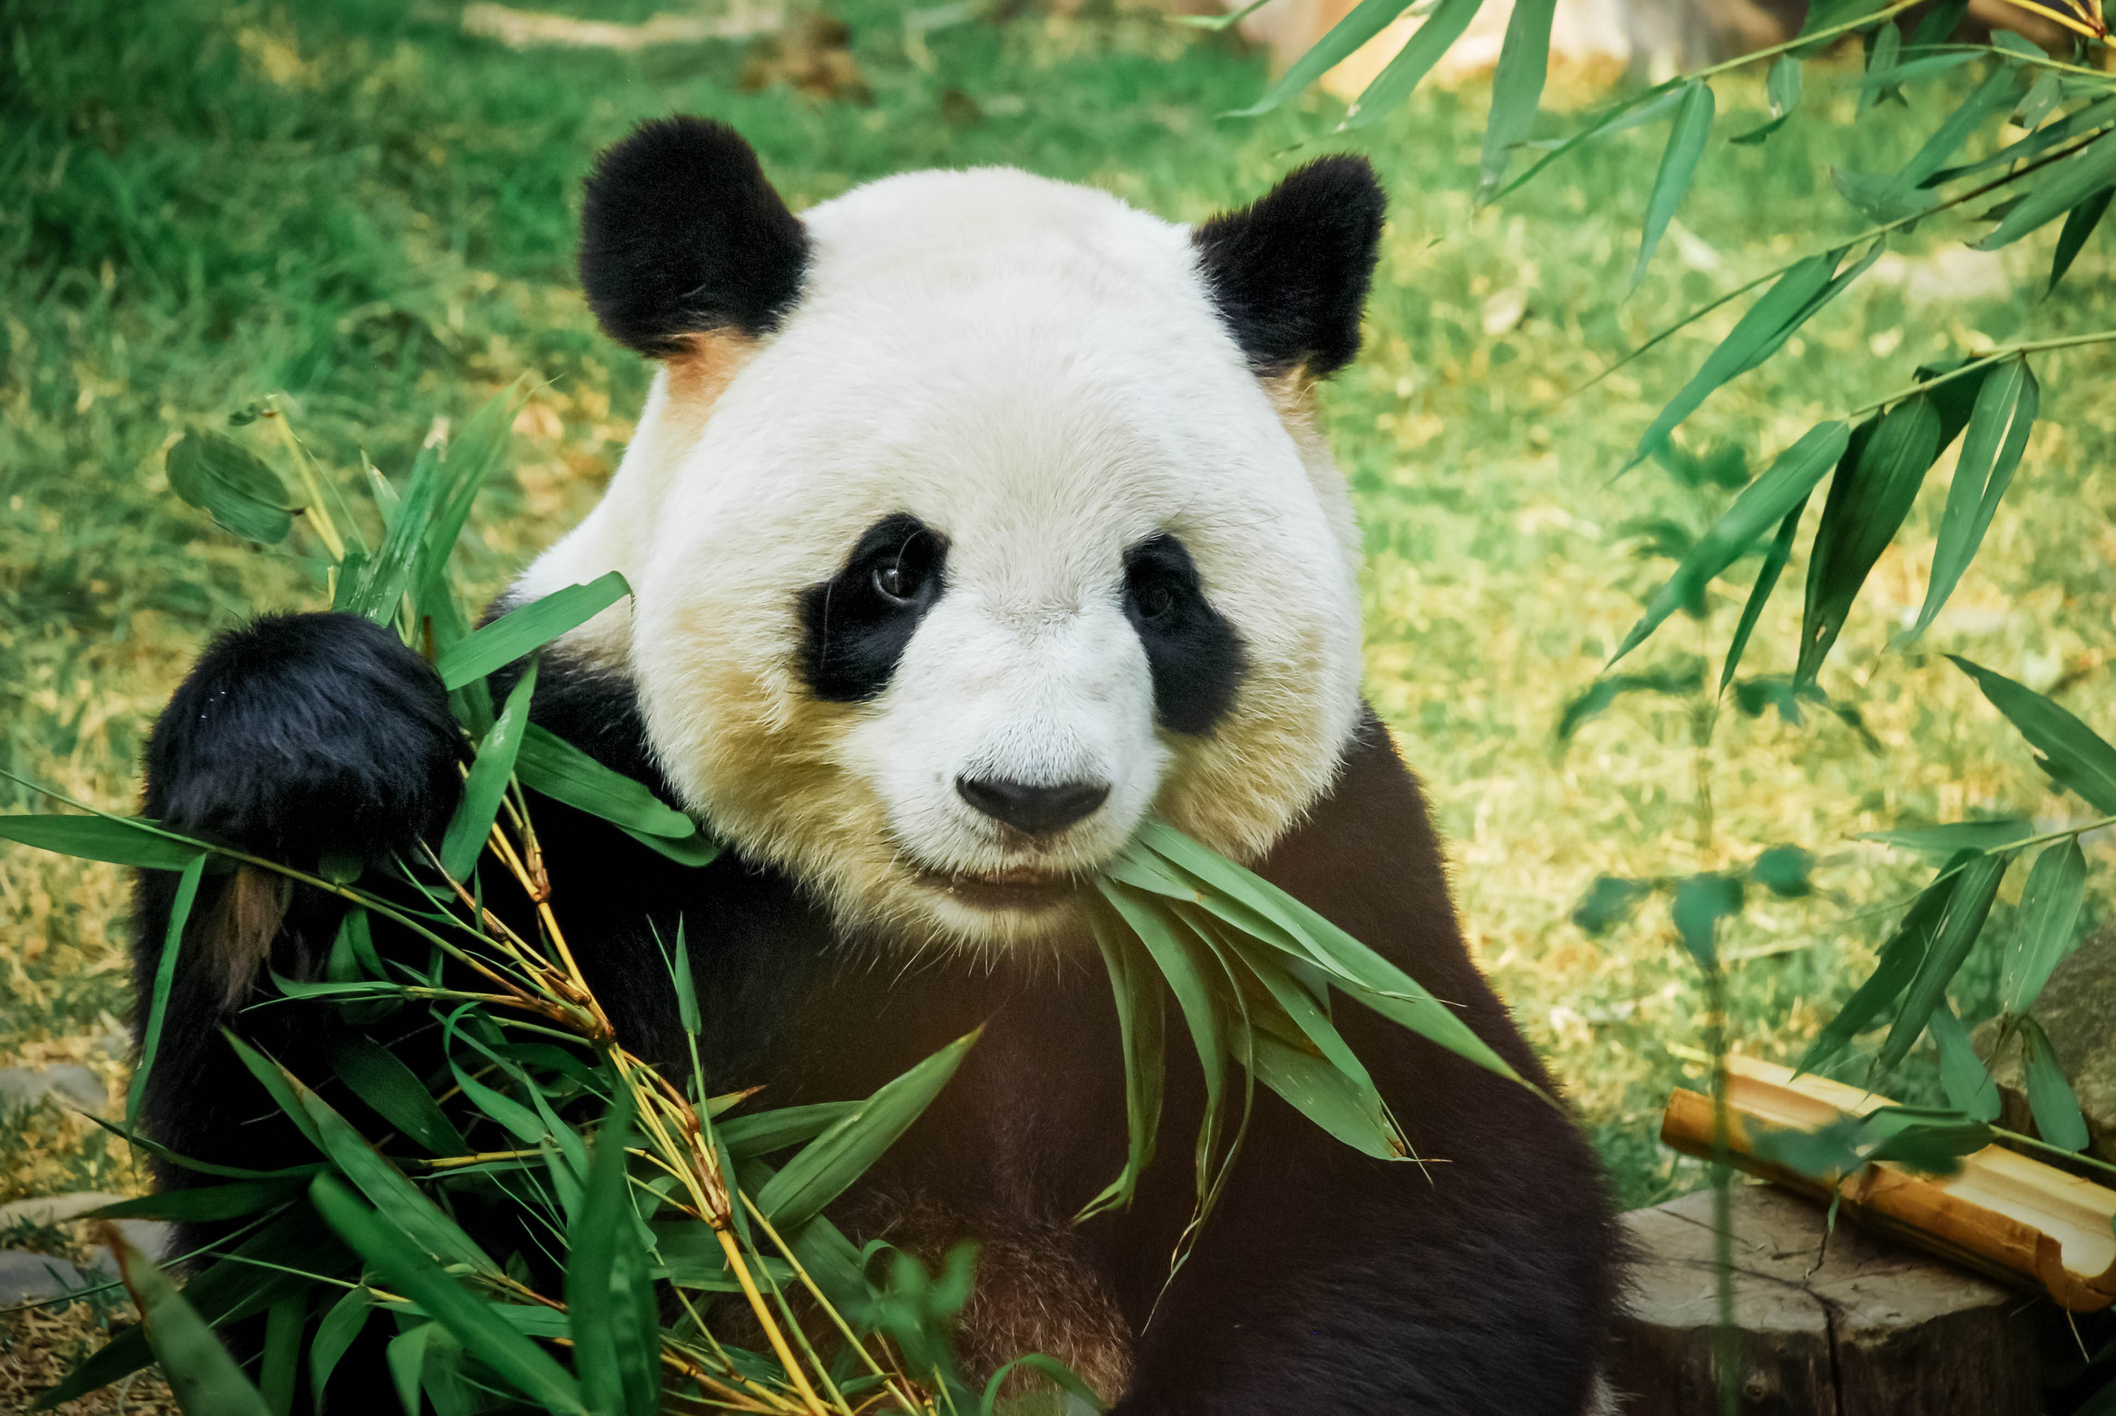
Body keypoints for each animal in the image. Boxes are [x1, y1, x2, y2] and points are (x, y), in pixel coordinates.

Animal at [133, 118, 1617, 1413]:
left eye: (1160, 594)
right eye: (896, 573)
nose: (1029, 798)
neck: (961, 949)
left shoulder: (1315, 876)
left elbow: (1421, 1180)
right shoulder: (579, 796)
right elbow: (359, 1199)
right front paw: (313, 751)